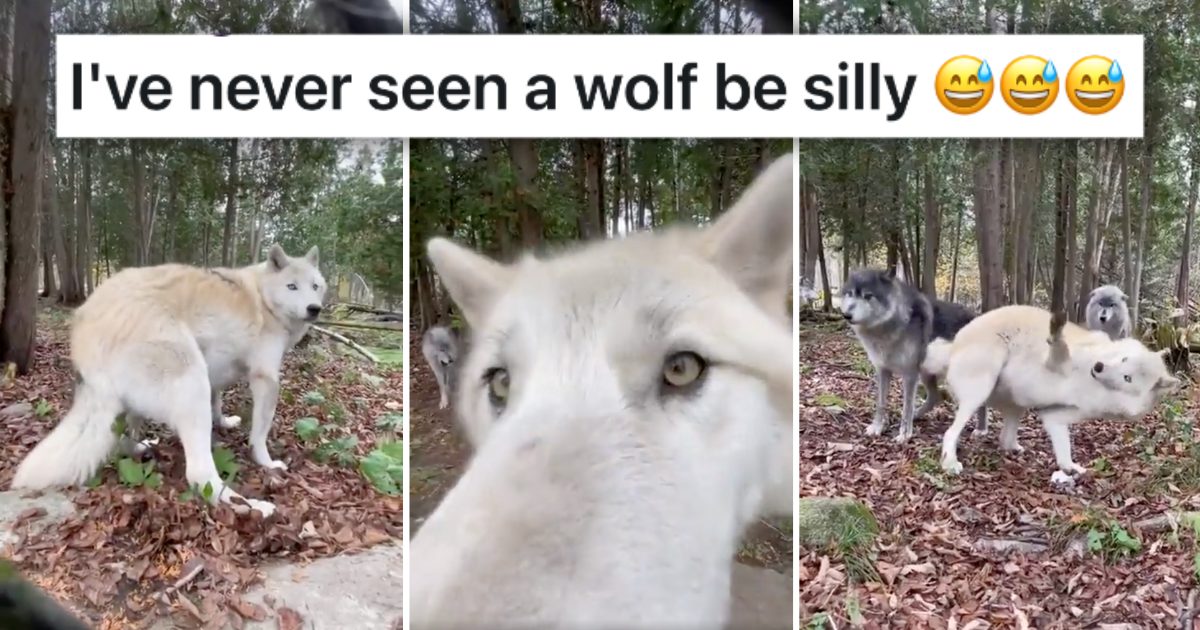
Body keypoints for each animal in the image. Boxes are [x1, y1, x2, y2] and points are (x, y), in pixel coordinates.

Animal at [11, 244, 327, 517]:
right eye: (292, 287)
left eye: (315, 286)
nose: (314, 308)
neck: (263, 298)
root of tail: (88, 325)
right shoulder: (266, 380)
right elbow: (259, 435)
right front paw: (267, 463)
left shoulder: (216, 377)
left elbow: (219, 406)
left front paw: (225, 423)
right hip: (192, 381)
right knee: (199, 476)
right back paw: (254, 508)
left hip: (136, 405)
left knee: (123, 443)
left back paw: (143, 447)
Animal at [839, 269, 987, 443]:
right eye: (850, 293)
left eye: (868, 296)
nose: (846, 315)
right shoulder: (883, 370)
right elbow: (881, 404)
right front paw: (877, 428)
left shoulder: (909, 374)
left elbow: (906, 407)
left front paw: (904, 434)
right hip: (927, 373)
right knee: (935, 397)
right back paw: (918, 415)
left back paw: (980, 430)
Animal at [923, 304, 1179, 480]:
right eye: (1124, 359)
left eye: (1128, 378)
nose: (1098, 367)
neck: (1094, 384)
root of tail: (954, 346)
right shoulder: (1057, 362)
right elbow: (1058, 345)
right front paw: (1056, 327)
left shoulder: (1058, 417)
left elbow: (1064, 451)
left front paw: (1070, 468)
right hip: (980, 391)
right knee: (950, 432)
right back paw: (950, 463)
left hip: (1015, 405)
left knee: (1003, 440)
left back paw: (1012, 449)